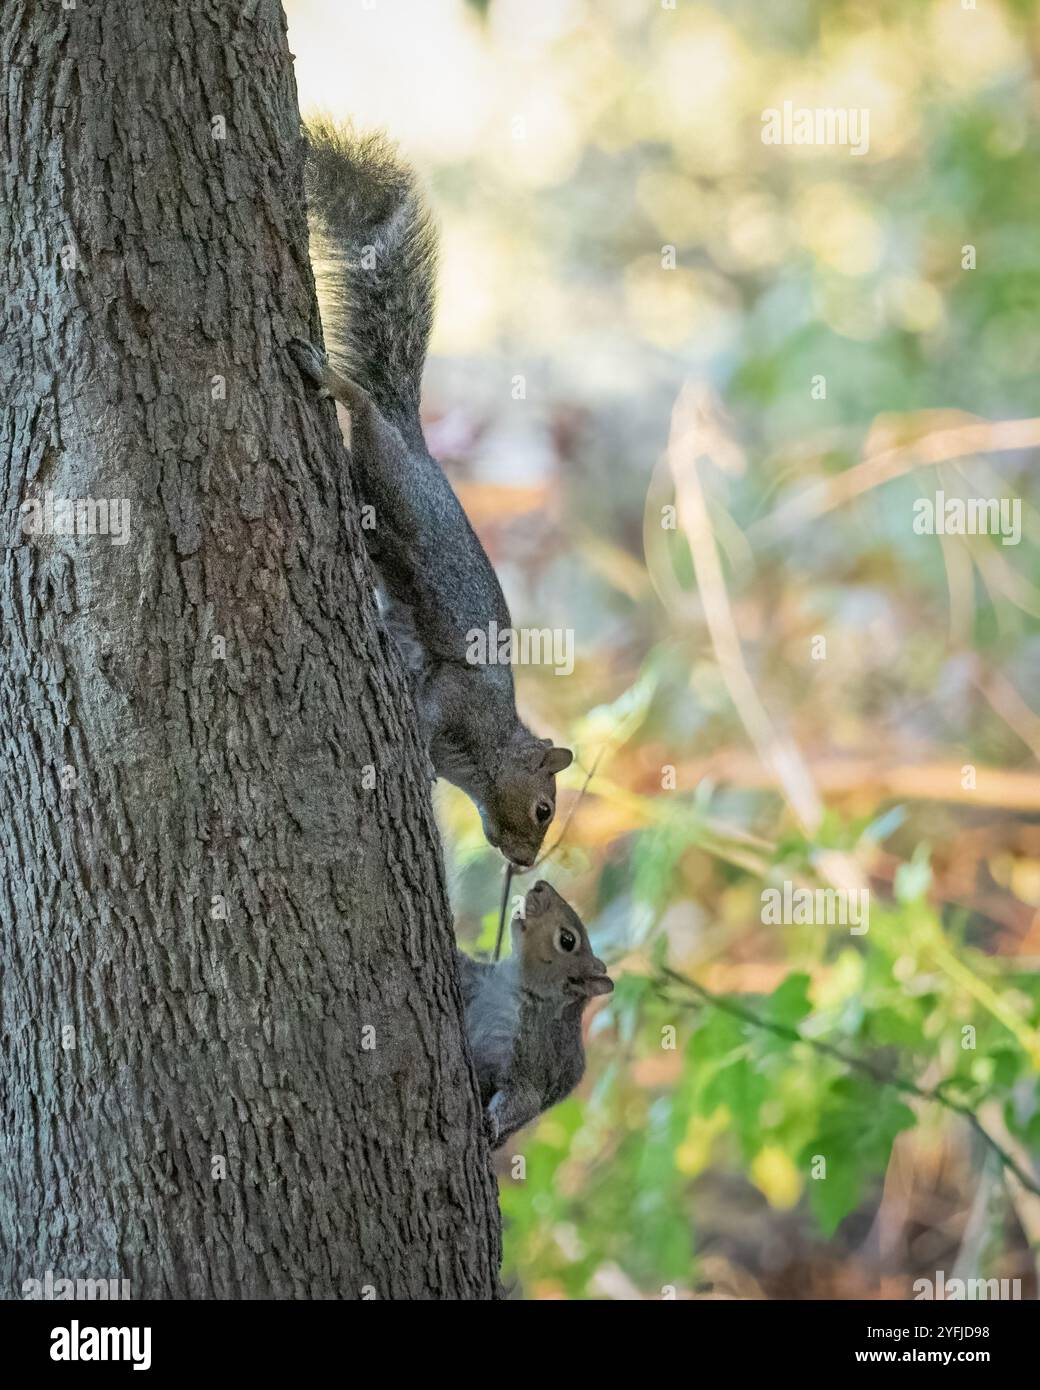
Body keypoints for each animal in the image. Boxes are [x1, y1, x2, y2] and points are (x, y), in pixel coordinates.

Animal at [288, 121, 572, 870]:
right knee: (362, 414)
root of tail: (416, 444)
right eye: (543, 808)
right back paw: (332, 381)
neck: (490, 742)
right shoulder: (457, 692)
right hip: (395, 481)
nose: (525, 863)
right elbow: (427, 709)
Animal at [455, 880, 612, 1149]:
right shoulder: (478, 979)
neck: (514, 984)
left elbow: (524, 1097)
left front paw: (492, 1122)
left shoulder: (531, 1054)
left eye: (568, 940)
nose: (540, 885)